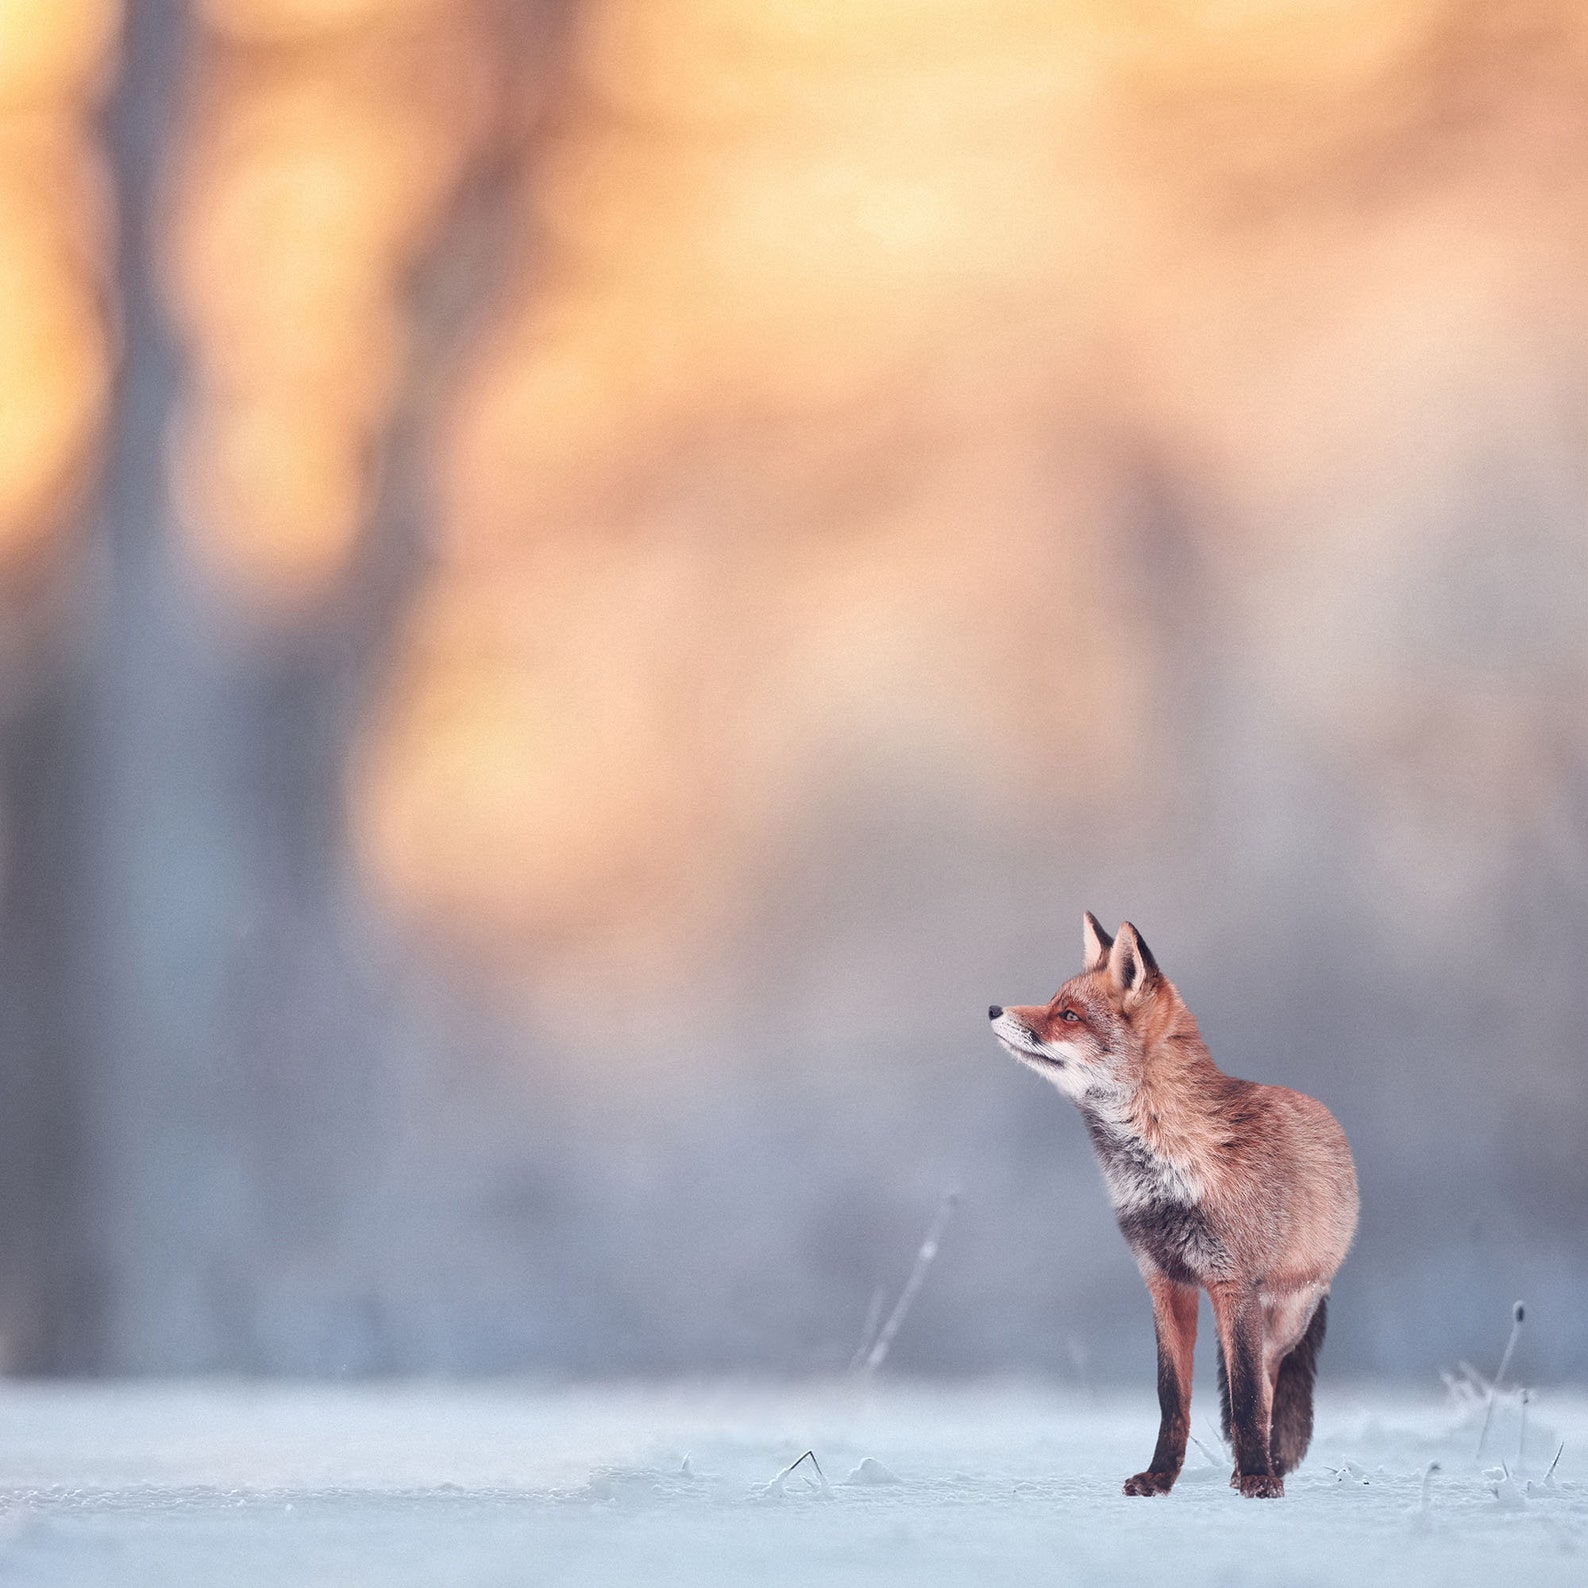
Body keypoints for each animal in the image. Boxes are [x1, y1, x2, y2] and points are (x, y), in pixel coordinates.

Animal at [989, 913, 1358, 1498]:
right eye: (1052, 1002)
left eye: (1067, 1015)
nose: (993, 1010)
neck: (1165, 1168)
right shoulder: (1165, 1282)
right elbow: (1172, 1397)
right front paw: (1160, 1477)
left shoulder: (1233, 1282)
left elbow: (1247, 1398)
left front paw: (1257, 1477)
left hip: (1283, 1313)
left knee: (1266, 1384)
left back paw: (1260, 1467)